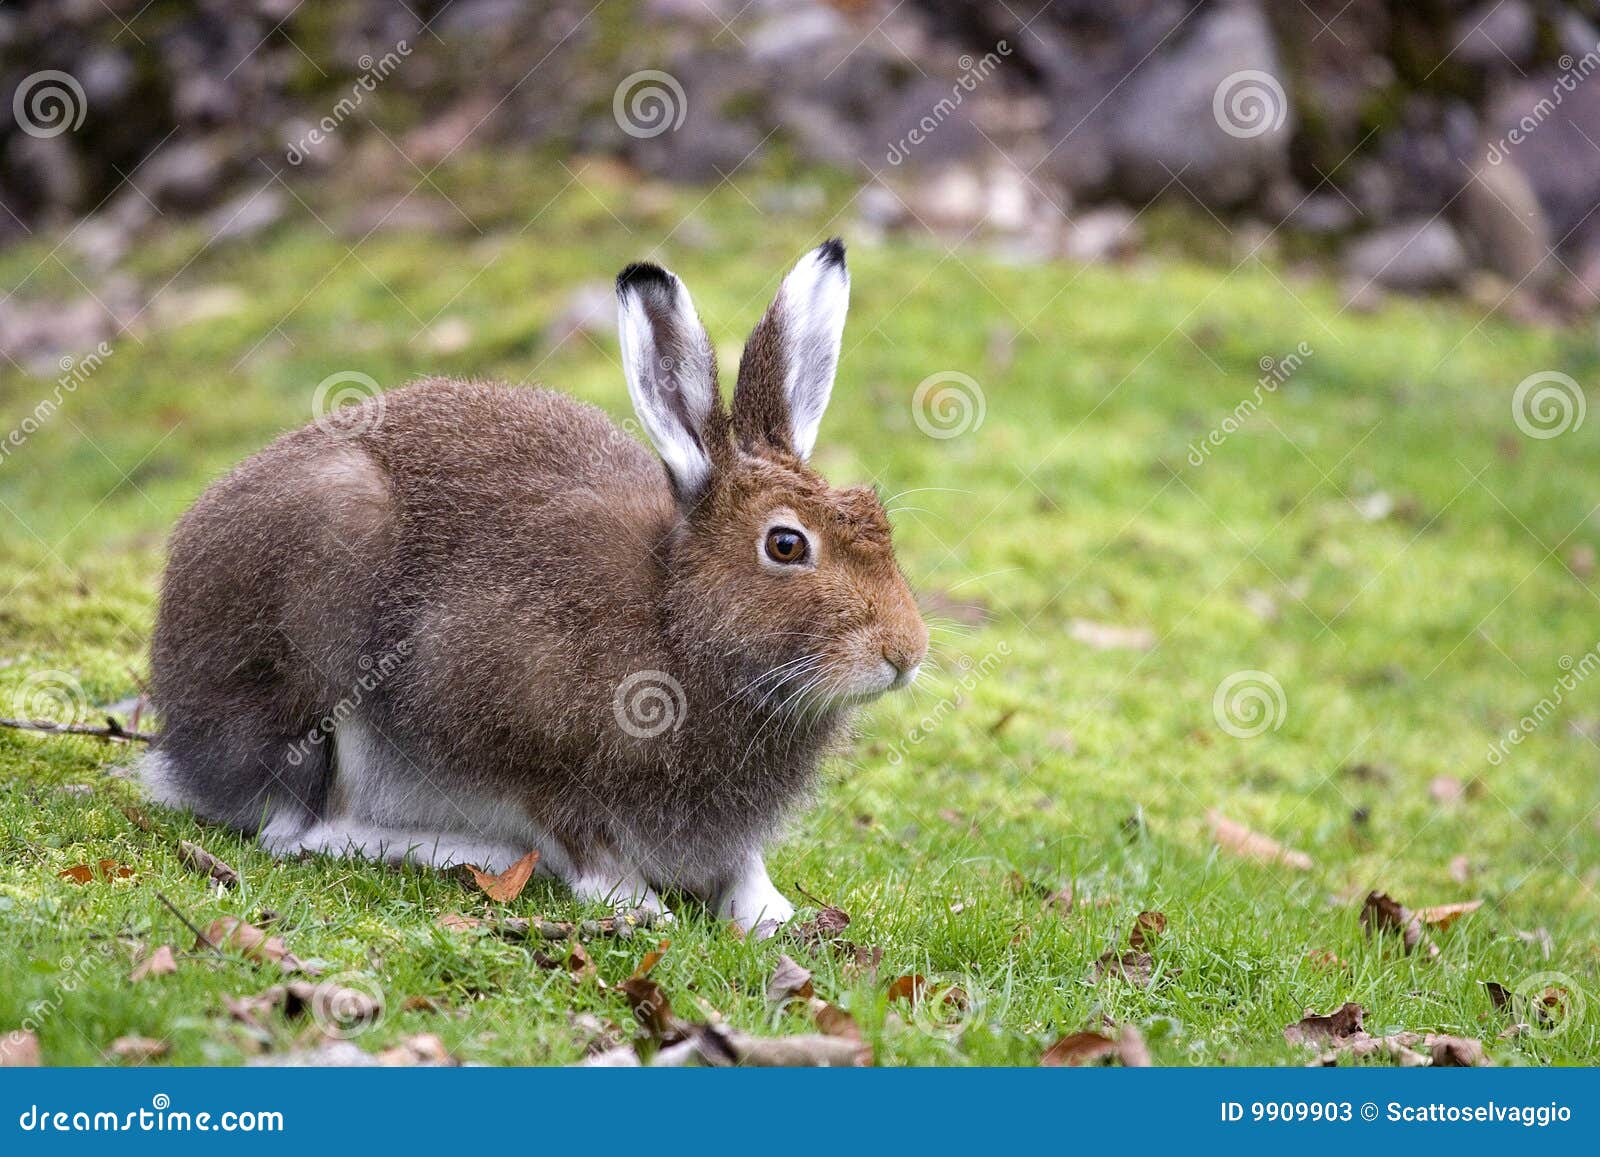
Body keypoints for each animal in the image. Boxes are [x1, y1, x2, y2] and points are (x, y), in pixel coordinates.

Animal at [141, 239, 928, 930]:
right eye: (786, 544)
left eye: (877, 517)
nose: (904, 652)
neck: (677, 620)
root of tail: (183, 739)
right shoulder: (517, 737)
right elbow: (575, 831)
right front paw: (633, 901)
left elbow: (740, 863)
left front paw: (767, 911)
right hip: (314, 666)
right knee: (296, 828)